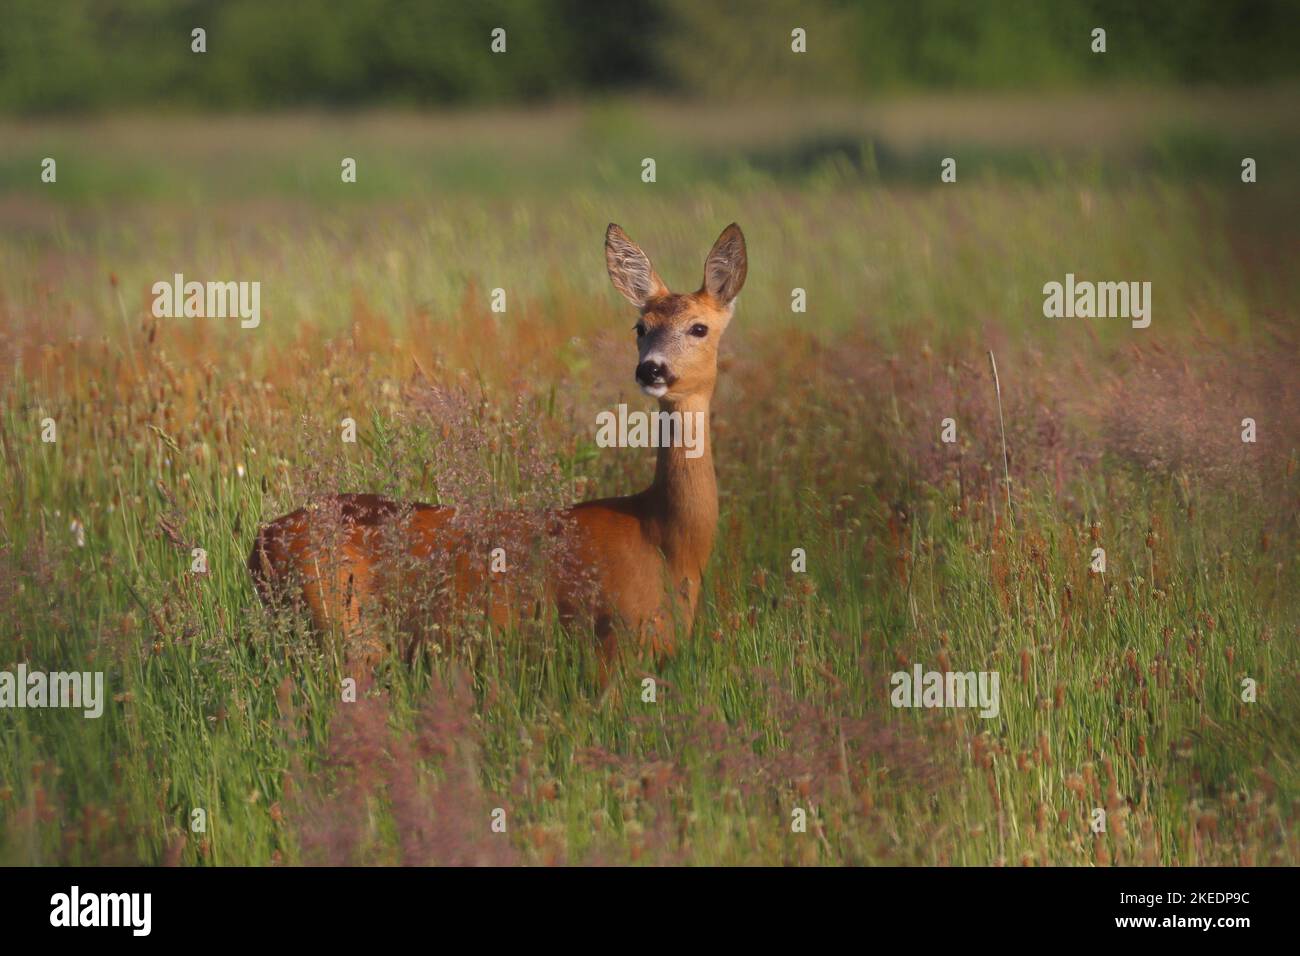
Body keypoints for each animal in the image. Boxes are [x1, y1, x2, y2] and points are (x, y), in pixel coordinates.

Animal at [247, 223, 747, 681]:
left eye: (699, 328)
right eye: (640, 327)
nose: (651, 369)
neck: (664, 537)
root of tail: (261, 541)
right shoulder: (611, 642)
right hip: (344, 627)